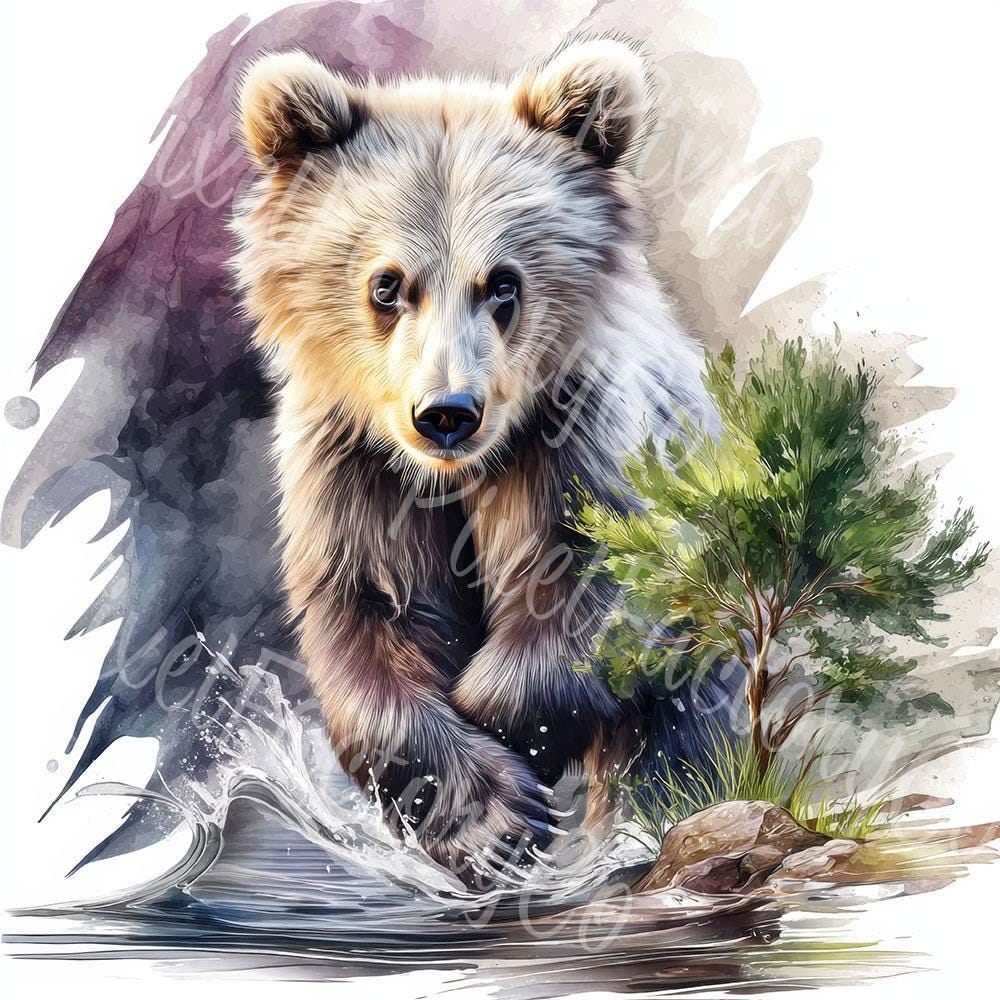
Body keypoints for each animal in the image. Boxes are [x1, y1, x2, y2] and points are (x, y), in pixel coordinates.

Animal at [231, 38, 723, 882]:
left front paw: (514, 738)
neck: (453, 478)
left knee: (684, 734)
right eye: (388, 284)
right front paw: (492, 820)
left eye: (503, 284)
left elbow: (590, 596)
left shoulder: (575, 442)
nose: (446, 414)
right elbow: (370, 617)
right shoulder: (357, 470)